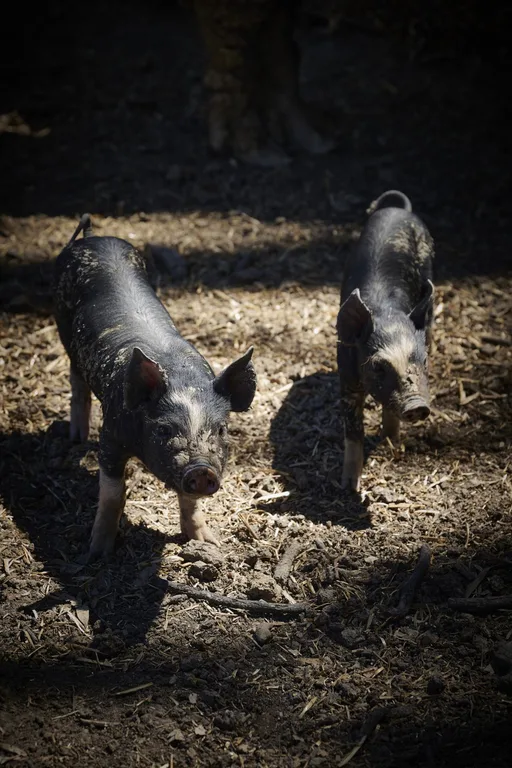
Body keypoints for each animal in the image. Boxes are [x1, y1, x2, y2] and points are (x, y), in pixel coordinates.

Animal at [54, 215, 256, 558]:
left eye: (221, 429)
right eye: (164, 429)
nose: (201, 469)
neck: (182, 379)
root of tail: (92, 238)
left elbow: (190, 503)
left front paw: (207, 542)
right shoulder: (110, 435)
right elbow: (114, 494)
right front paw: (98, 552)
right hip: (63, 328)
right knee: (76, 378)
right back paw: (76, 438)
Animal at [336, 190, 435, 492]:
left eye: (424, 360)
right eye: (378, 366)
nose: (417, 406)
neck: (387, 313)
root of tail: (400, 209)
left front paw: (392, 444)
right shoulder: (346, 379)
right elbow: (353, 431)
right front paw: (349, 486)